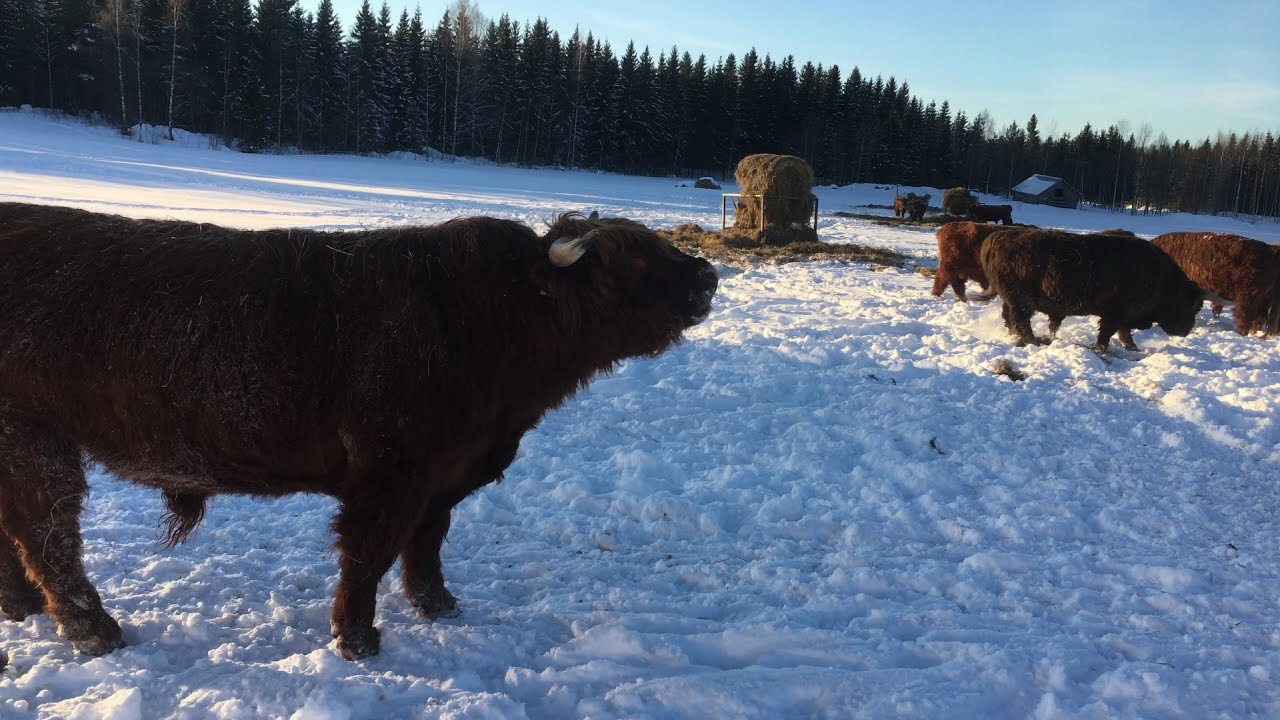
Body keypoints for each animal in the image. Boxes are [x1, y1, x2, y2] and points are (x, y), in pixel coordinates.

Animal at [0, 203, 718, 660]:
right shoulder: (390, 474)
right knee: (49, 536)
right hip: (33, 439)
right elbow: (368, 557)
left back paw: (22, 608)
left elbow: (426, 544)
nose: (709, 275)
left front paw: (437, 604)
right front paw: (358, 641)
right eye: (634, 259)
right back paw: (94, 630)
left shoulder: (443, 476)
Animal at [978, 227, 1207, 351]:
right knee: (1021, 321)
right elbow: (1108, 332)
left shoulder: (1121, 315)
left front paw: (1133, 348)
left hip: (1012, 300)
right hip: (1021, 301)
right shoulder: (1115, 313)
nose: (1186, 331)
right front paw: (1102, 348)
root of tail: (997, 237)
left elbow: (1123, 332)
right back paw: (1033, 341)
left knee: (1010, 317)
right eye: (1191, 306)